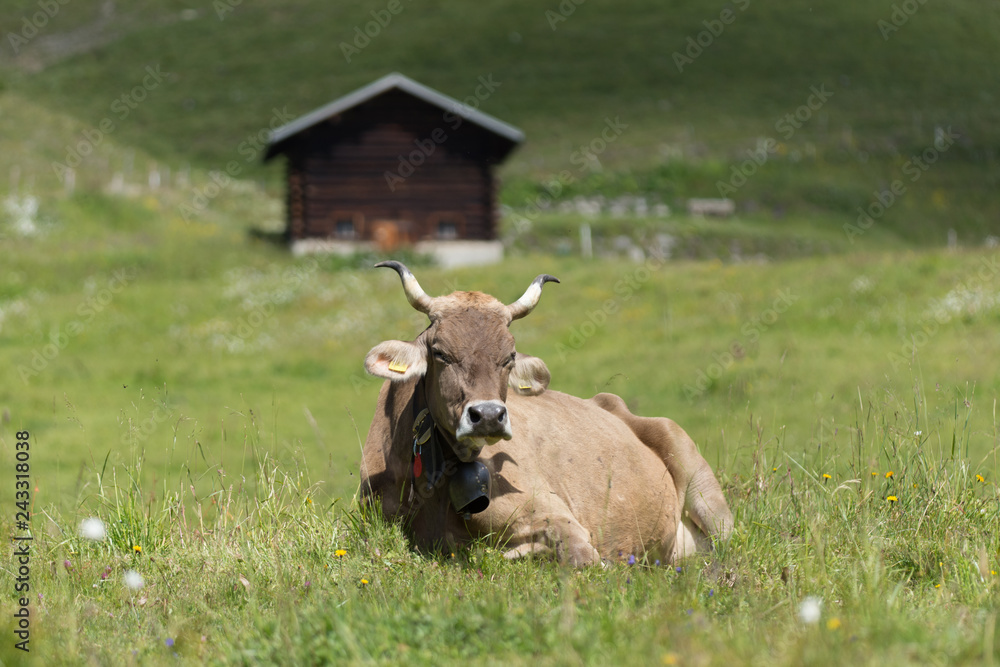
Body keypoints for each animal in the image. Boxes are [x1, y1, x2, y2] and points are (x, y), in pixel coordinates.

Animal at [359, 261, 733, 566]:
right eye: (440, 353)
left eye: (509, 356)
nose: (489, 415)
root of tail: (608, 402)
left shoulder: (556, 516)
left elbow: (580, 558)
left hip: (704, 492)